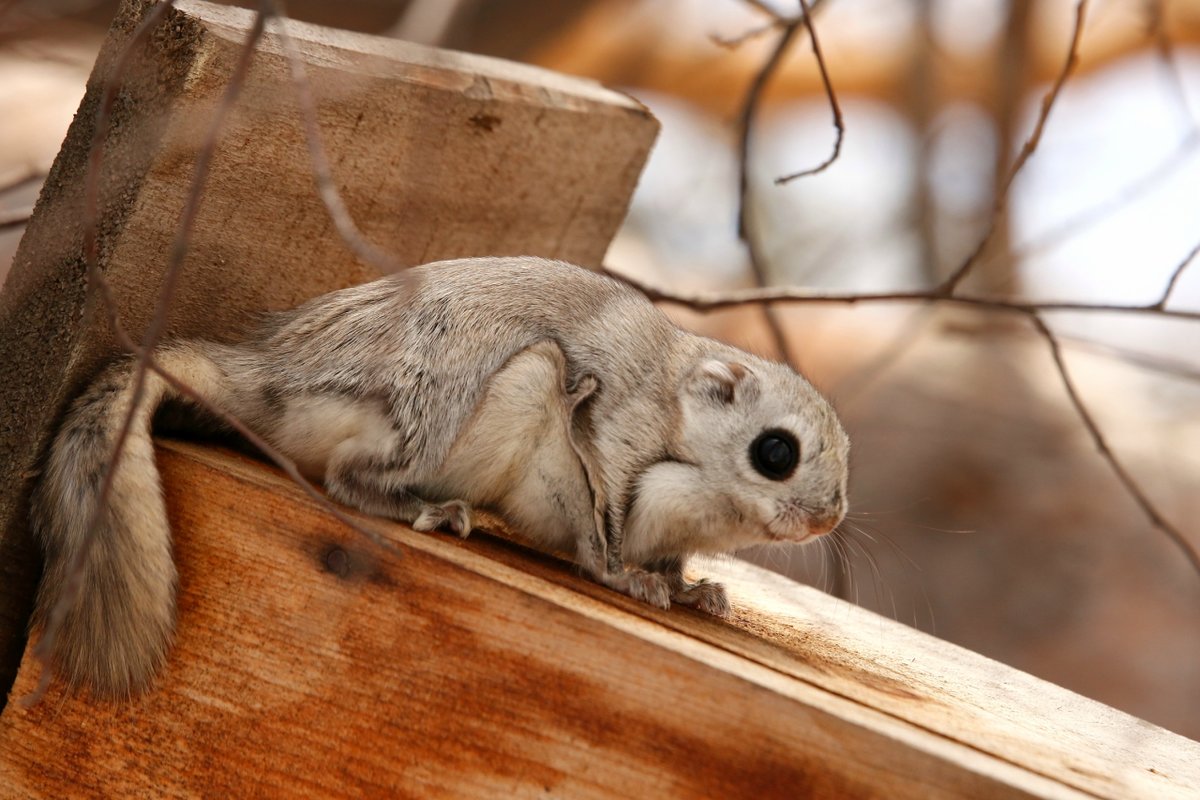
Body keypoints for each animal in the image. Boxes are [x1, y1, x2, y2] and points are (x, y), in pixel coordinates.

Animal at [30, 256, 850, 698]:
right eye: (776, 453)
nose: (828, 518)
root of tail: (270, 375)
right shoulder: (609, 441)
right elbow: (600, 526)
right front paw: (626, 578)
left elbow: (674, 562)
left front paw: (691, 588)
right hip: (471, 396)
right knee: (348, 479)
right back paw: (422, 508)